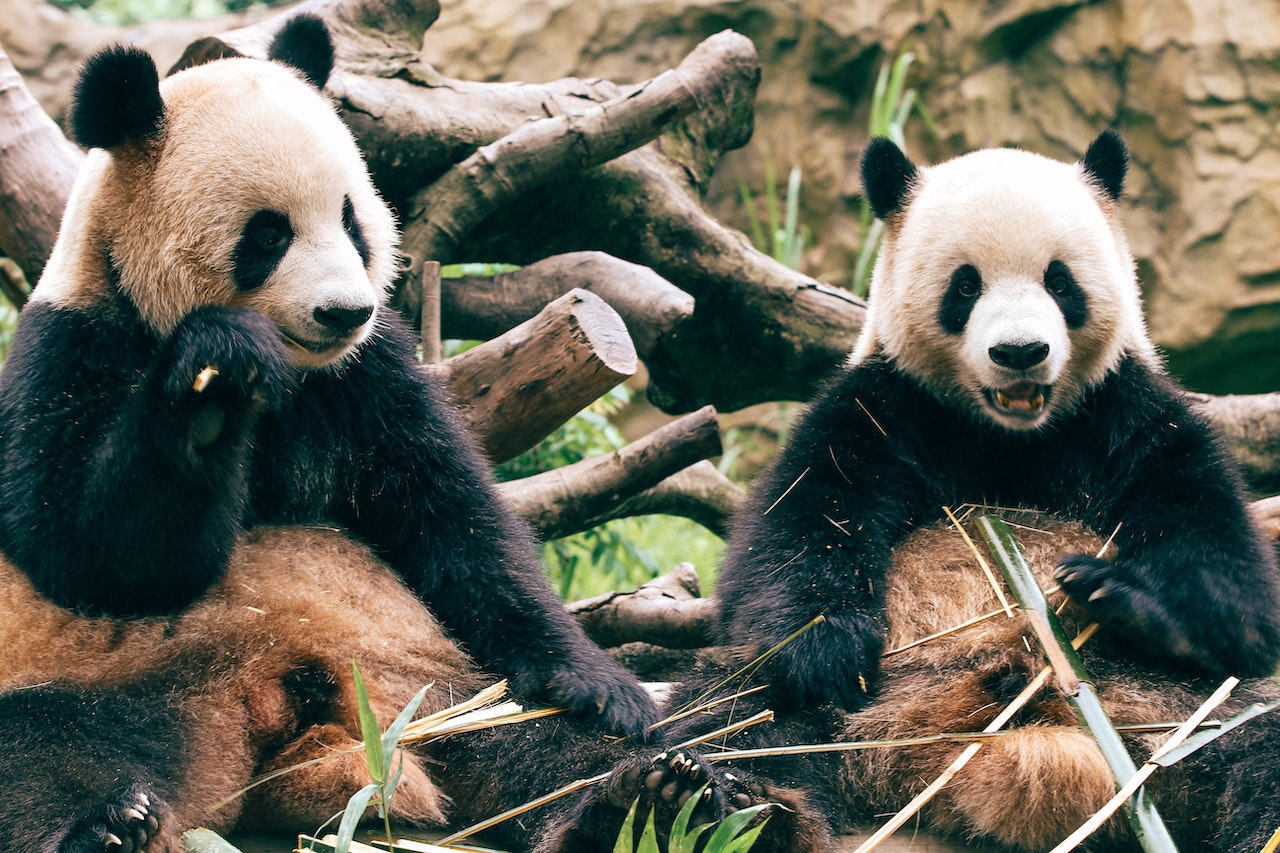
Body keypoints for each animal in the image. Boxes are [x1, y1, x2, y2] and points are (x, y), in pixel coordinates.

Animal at [0, 16, 660, 851]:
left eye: (352, 218)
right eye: (267, 234)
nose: (345, 311)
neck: (294, 378)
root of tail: (272, 719)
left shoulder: (365, 378)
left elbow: (453, 521)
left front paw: (597, 682)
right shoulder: (73, 348)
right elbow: (94, 557)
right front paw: (214, 381)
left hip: (431, 684)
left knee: (528, 734)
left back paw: (648, 793)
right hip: (99, 677)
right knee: (40, 748)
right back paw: (107, 821)